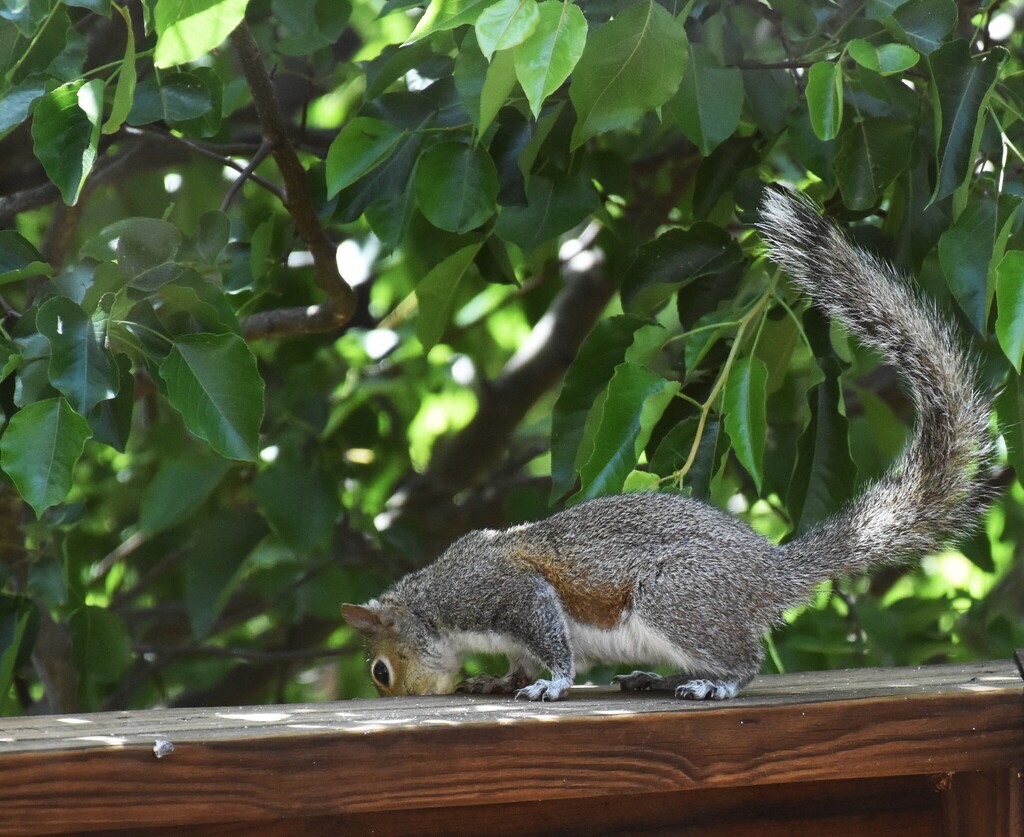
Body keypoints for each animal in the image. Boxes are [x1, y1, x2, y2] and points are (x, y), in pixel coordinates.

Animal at [341, 188, 995, 702]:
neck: (432, 601)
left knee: (744, 660)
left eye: (380, 671)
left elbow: (549, 637)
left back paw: (715, 683)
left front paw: (551, 683)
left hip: (675, 594)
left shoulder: (499, 591)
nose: (397, 694)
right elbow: (520, 659)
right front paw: (501, 679)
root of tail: (771, 573)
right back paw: (654, 677)